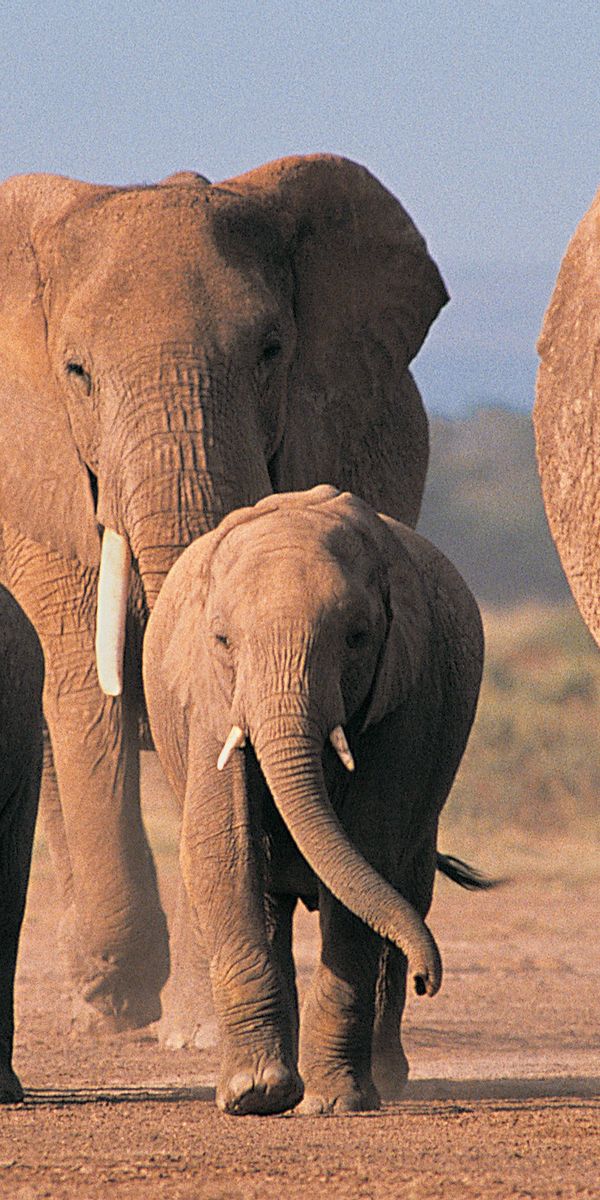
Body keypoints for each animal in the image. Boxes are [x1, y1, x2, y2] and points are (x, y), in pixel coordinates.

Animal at [0, 155, 448, 1032]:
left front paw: (200, 1025)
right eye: (77, 374)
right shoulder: (42, 492)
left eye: (271, 351)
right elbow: (86, 692)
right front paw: (123, 996)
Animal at [142, 485, 484, 1115]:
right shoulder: (207, 698)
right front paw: (255, 1095)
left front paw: (333, 1104)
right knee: (274, 900)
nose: (431, 979)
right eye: (222, 641)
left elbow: (369, 851)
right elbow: (223, 850)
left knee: (406, 888)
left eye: (356, 638)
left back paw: (383, 1079)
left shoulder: (410, 694)